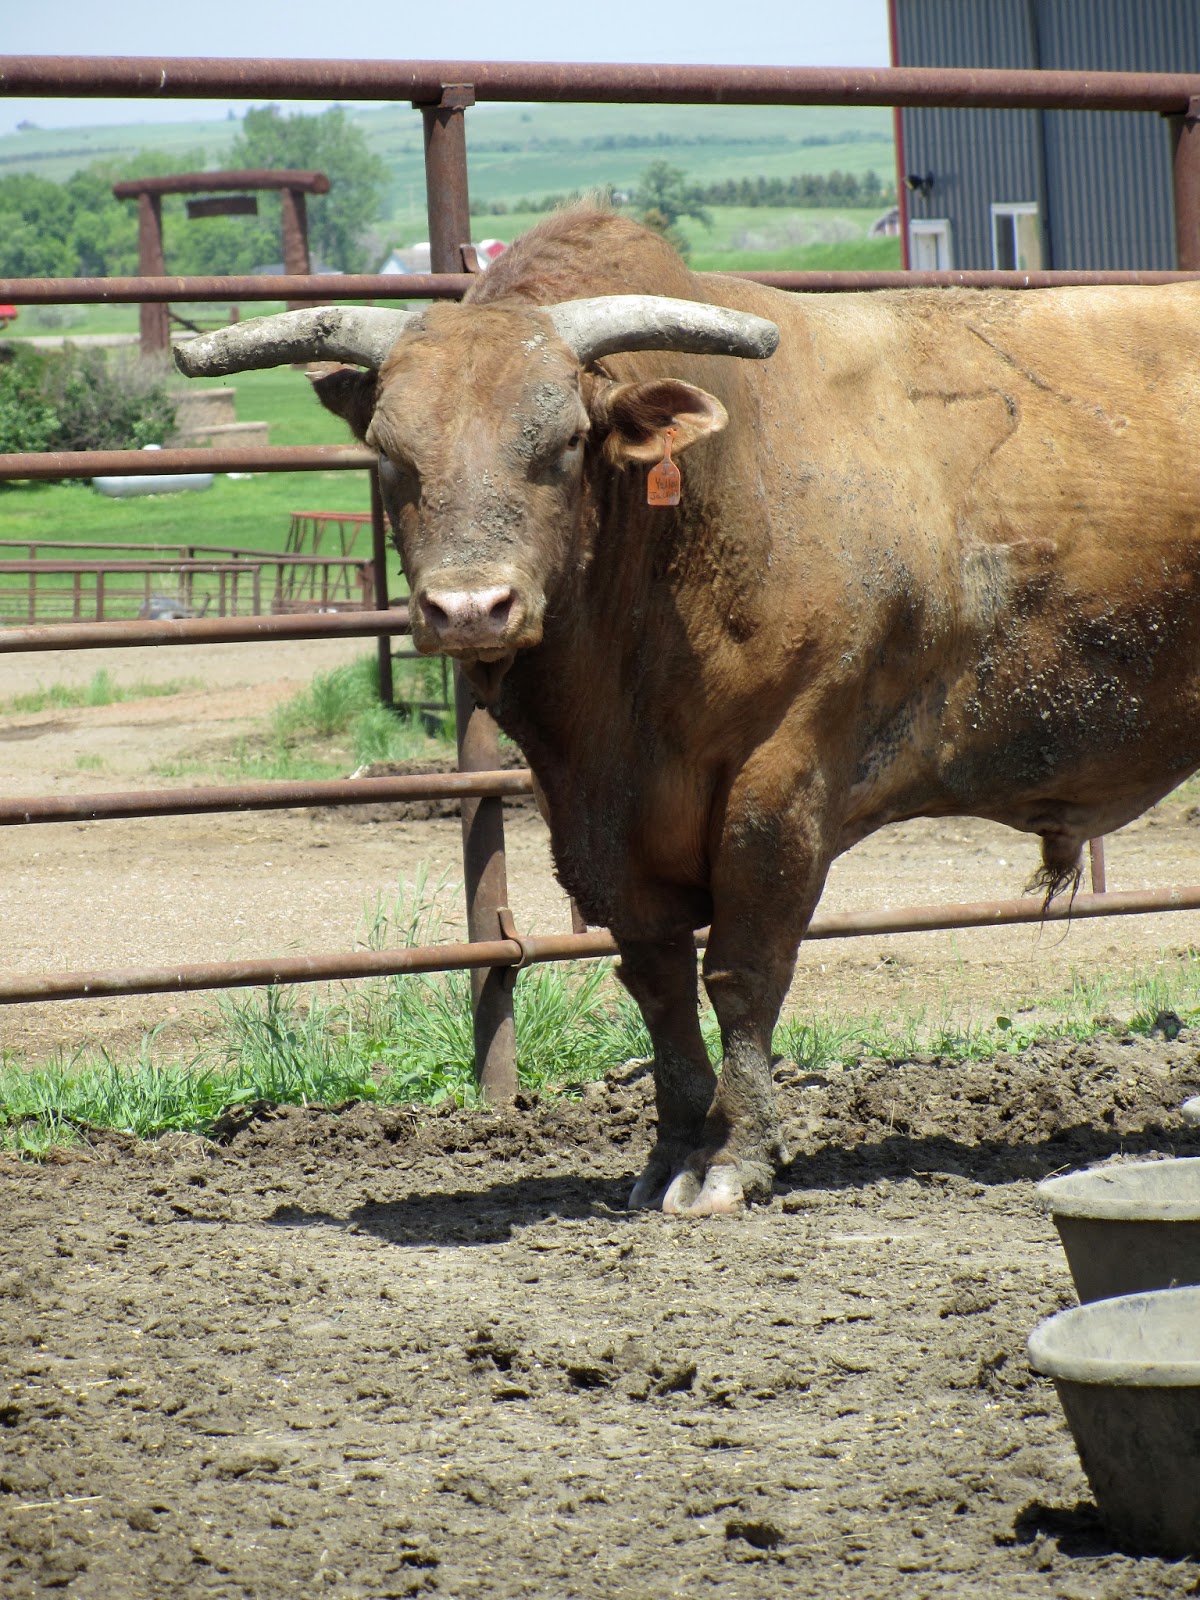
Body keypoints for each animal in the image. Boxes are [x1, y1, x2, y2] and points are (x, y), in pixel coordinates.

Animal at [176, 207, 1200, 1216]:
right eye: (390, 454)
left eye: (564, 444)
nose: (470, 607)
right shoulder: (594, 819)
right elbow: (659, 981)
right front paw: (671, 1150)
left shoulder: (781, 777)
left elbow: (742, 971)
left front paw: (737, 1158)